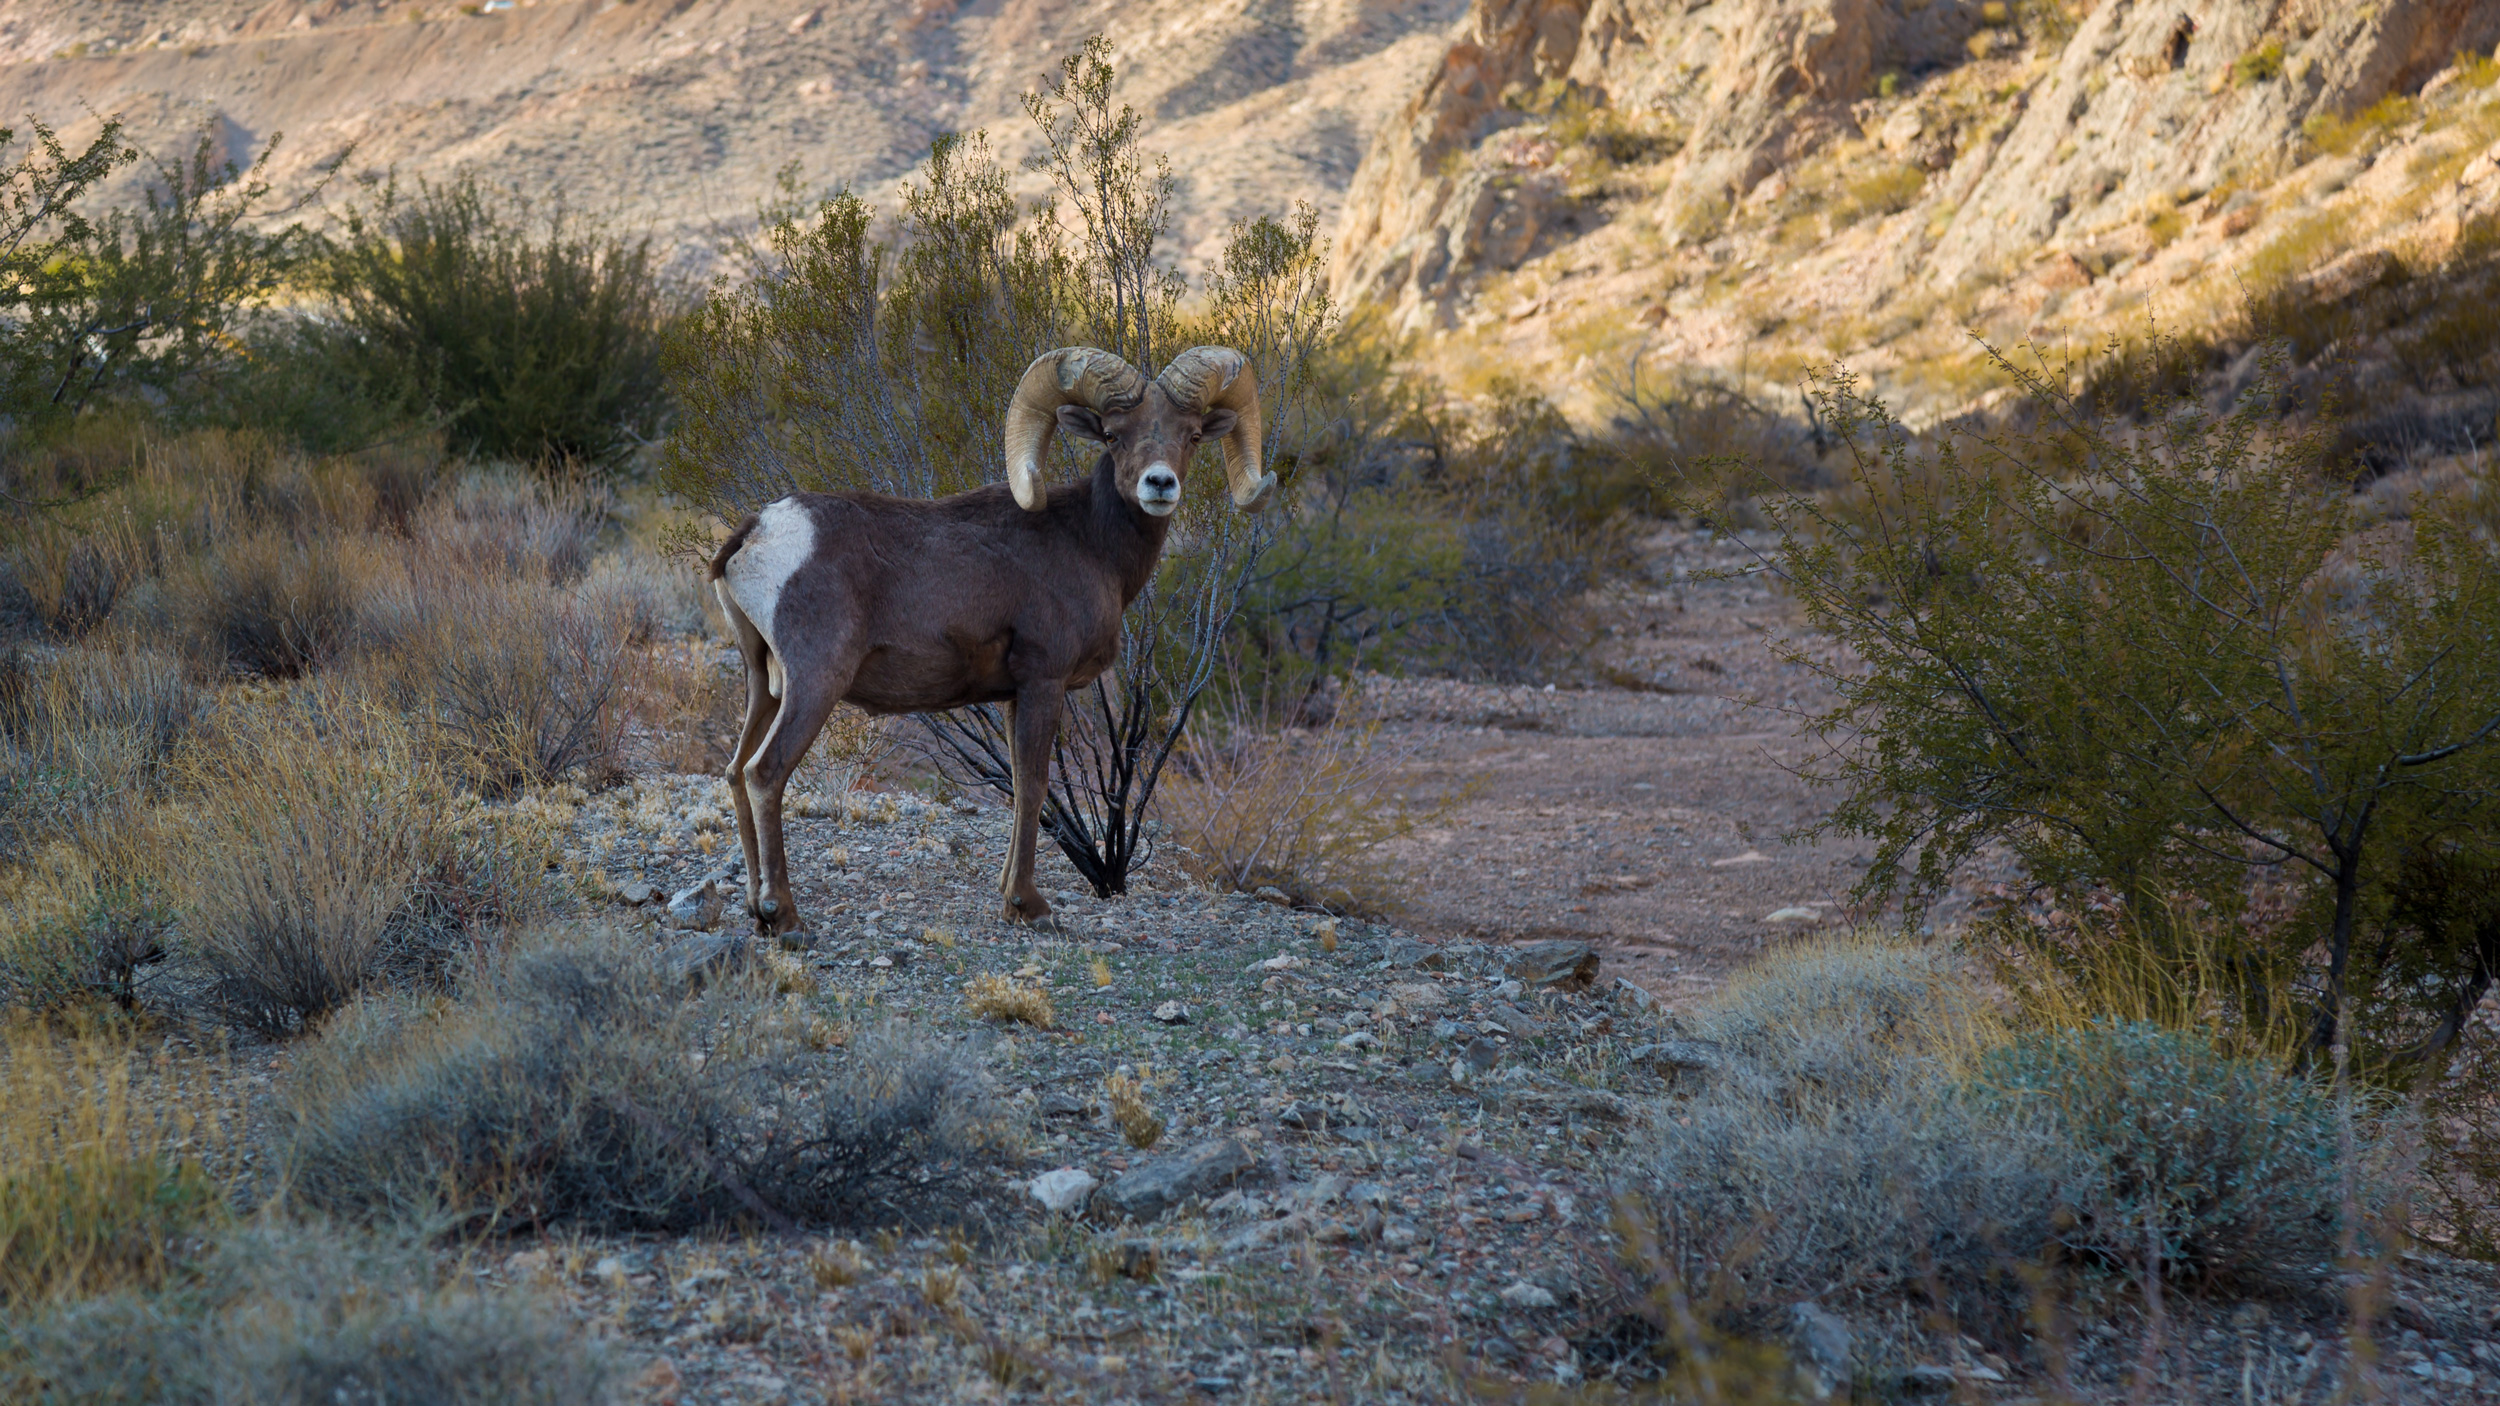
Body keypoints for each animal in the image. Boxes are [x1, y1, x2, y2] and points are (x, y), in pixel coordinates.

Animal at [704, 344, 1271, 935]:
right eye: (1115, 434)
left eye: (1192, 435)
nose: (1159, 485)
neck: (1090, 544)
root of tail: (757, 533)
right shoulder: (1044, 682)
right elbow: (1038, 785)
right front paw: (1031, 906)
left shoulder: (1013, 696)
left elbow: (1021, 787)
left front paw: (1008, 900)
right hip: (816, 683)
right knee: (765, 774)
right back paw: (783, 916)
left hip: (763, 683)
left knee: (734, 773)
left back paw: (756, 908)